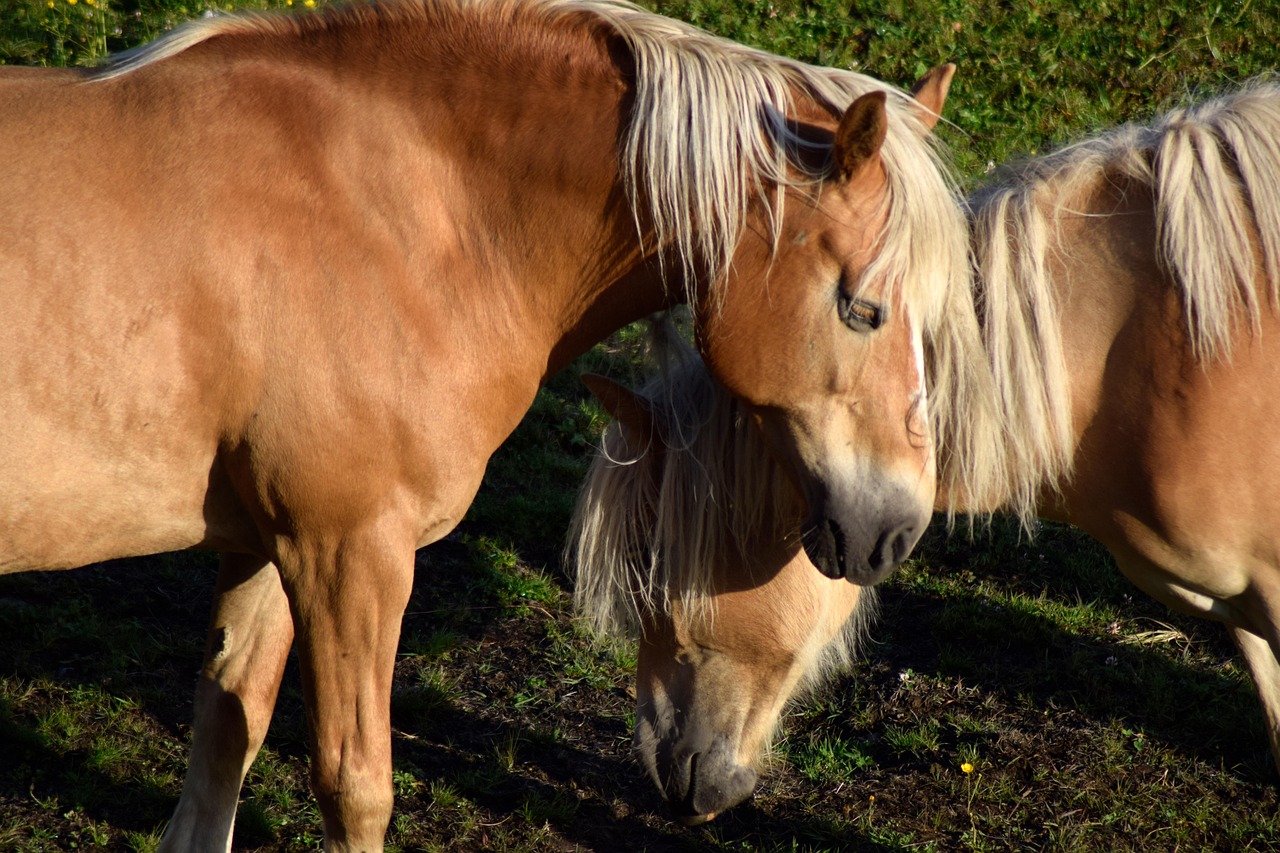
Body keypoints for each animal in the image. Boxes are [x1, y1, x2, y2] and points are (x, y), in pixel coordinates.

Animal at [0, 0, 973, 847]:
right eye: (862, 308)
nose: (896, 530)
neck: (404, 217)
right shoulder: (351, 551)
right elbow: (353, 783)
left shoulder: (270, 544)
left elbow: (226, 727)